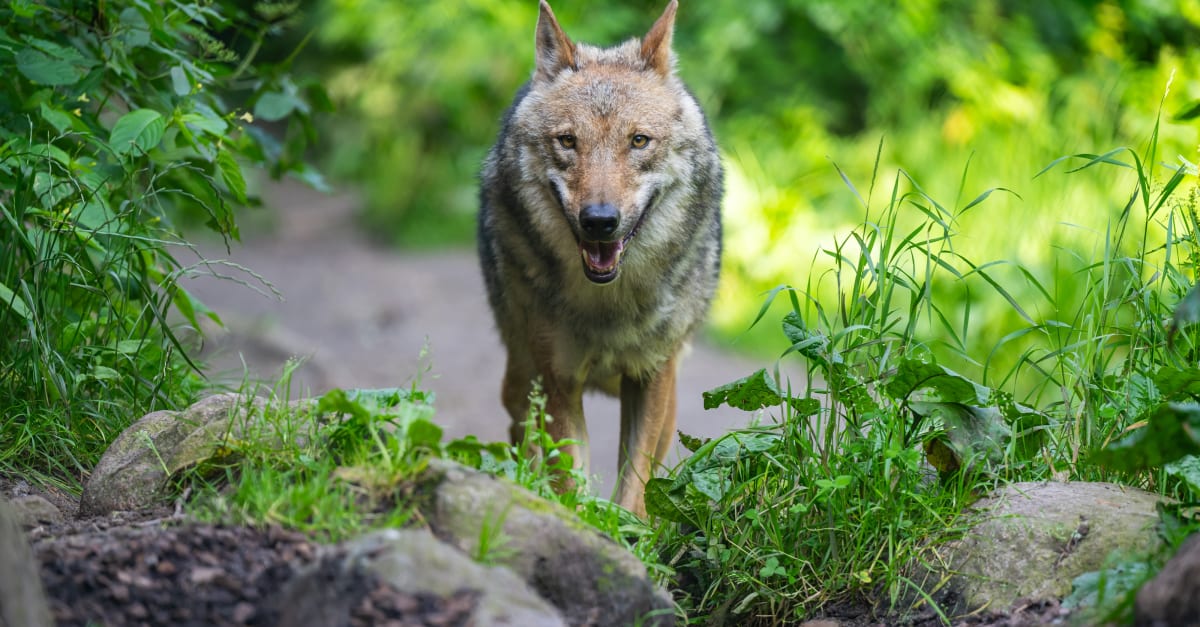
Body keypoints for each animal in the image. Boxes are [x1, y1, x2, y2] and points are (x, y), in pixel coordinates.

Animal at [477, 0, 722, 515]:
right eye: (568, 141)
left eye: (639, 141)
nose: (599, 221)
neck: (609, 306)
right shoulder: (558, 379)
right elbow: (570, 481)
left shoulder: (652, 376)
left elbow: (635, 485)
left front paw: (627, 529)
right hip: (521, 376)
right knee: (521, 437)